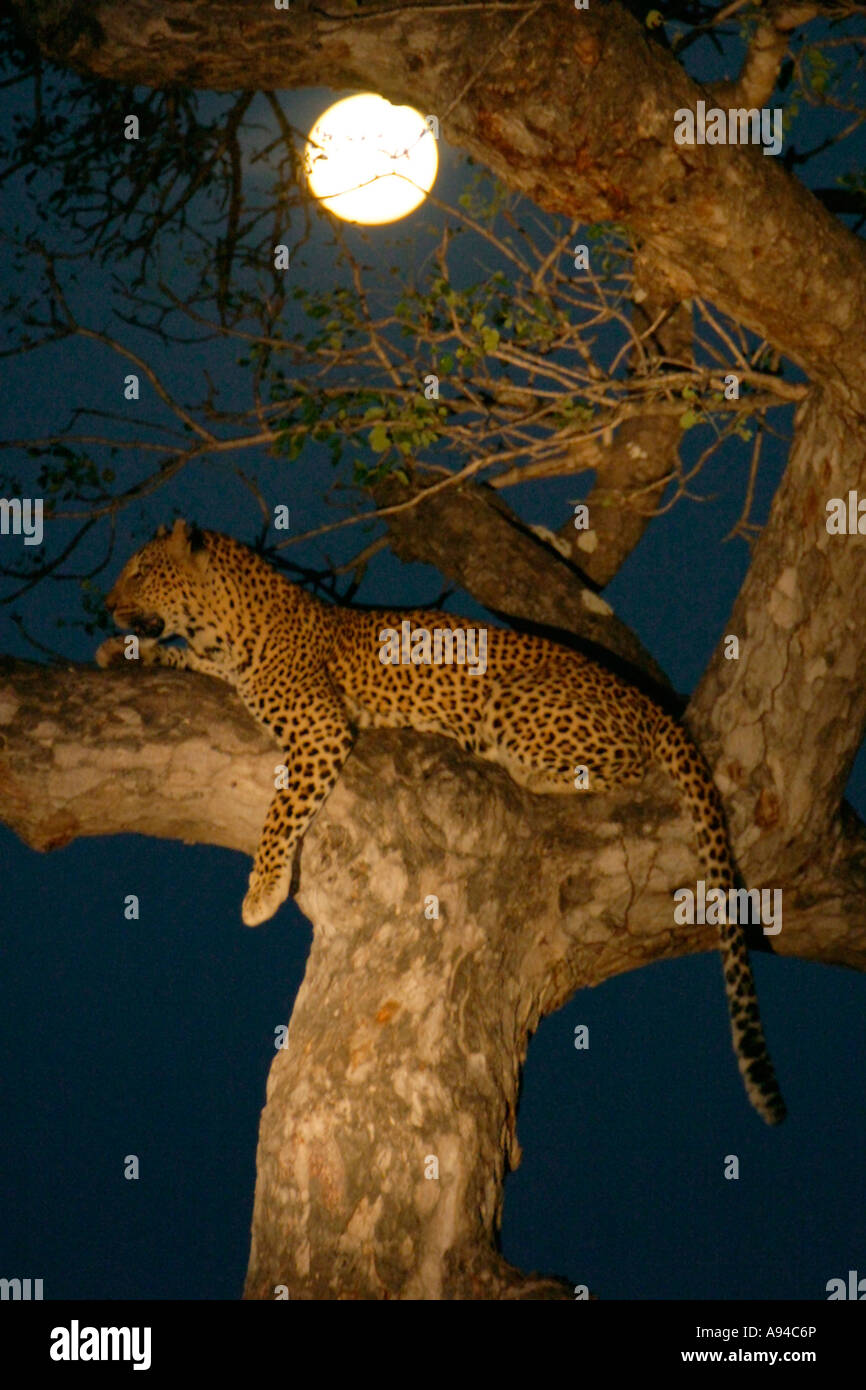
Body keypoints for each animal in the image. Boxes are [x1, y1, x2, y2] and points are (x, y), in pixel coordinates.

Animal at [96, 518, 785, 1125]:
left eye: (140, 571)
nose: (106, 607)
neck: (225, 625)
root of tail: (649, 702)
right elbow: (191, 663)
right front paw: (125, 651)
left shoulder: (319, 728)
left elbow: (281, 813)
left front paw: (262, 892)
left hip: (515, 700)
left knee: (619, 767)